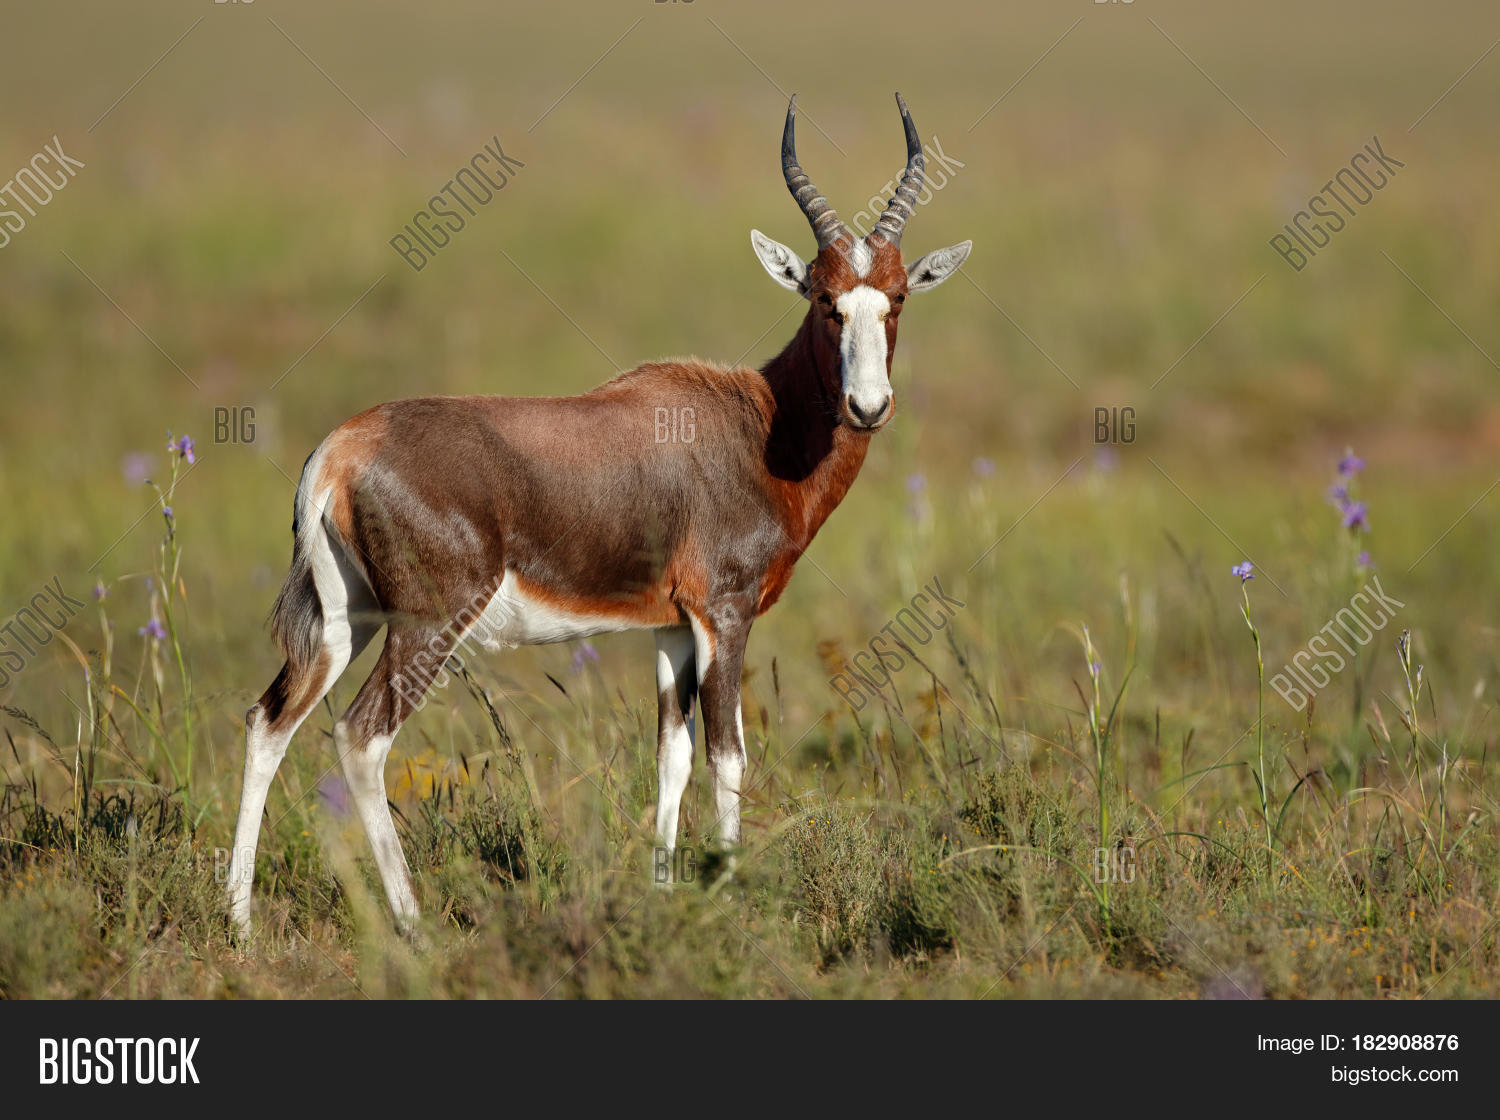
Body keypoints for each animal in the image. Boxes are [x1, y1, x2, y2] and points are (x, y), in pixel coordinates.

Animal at [226, 93, 972, 936]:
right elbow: (729, 755)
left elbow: (672, 756)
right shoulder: (726, 614)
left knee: (269, 720)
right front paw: (727, 900)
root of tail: (343, 450)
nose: (868, 406)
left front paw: (666, 897)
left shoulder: (671, 628)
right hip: (427, 624)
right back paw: (414, 925)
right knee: (360, 736)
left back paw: (240, 922)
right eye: (824, 299)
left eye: (898, 297)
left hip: (342, 622)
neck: (754, 425)